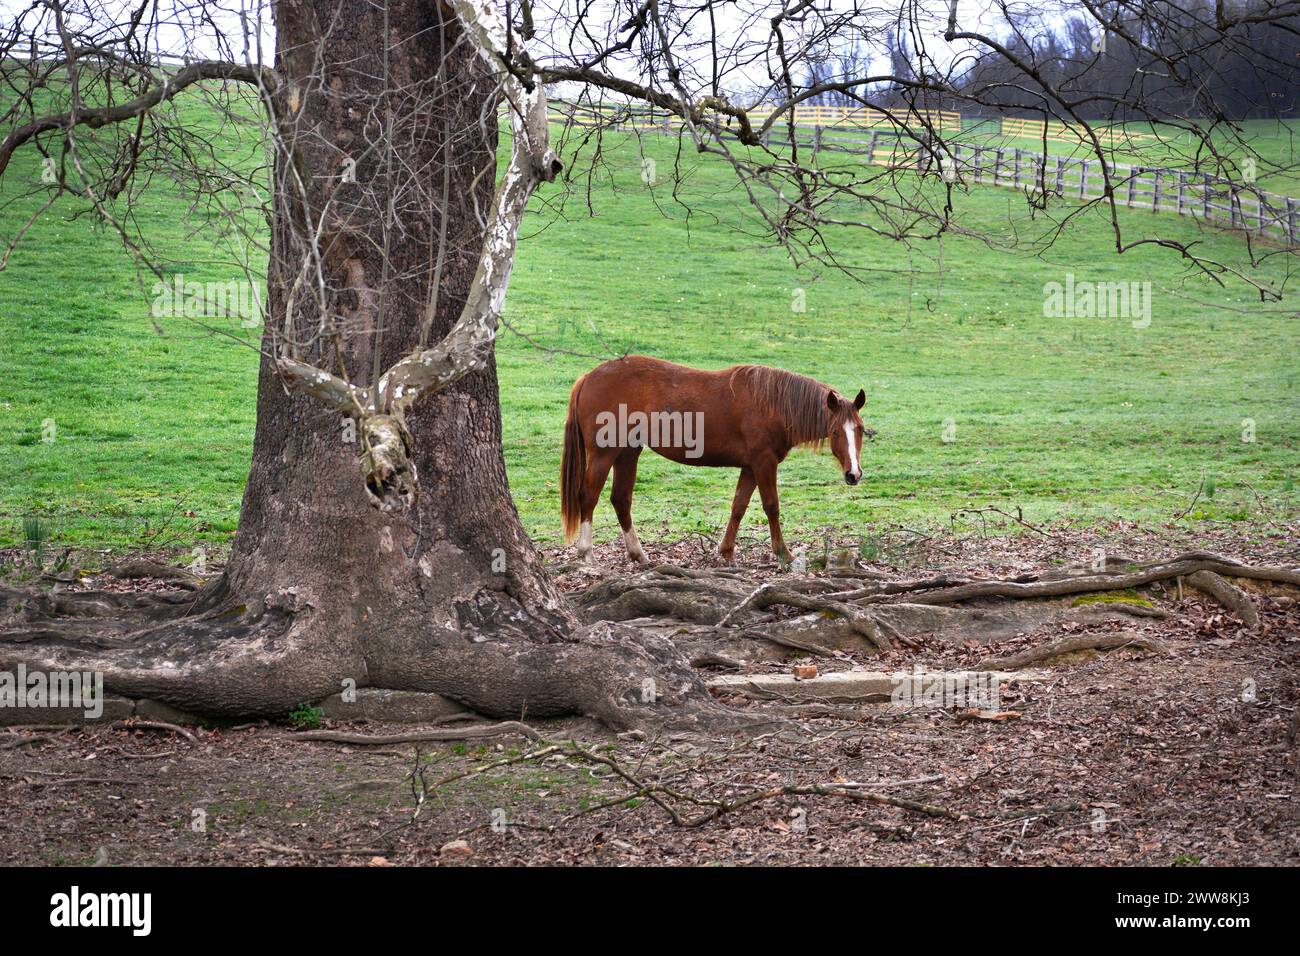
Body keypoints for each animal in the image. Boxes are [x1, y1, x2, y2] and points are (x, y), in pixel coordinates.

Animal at [560, 355, 871, 563]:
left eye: (860, 429)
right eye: (835, 431)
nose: (853, 474)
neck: (773, 404)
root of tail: (588, 377)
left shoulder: (750, 467)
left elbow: (738, 507)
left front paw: (726, 552)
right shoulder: (764, 462)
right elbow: (771, 506)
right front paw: (784, 554)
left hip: (628, 452)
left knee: (621, 499)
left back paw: (638, 554)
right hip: (604, 454)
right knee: (589, 496)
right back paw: (586, 552)